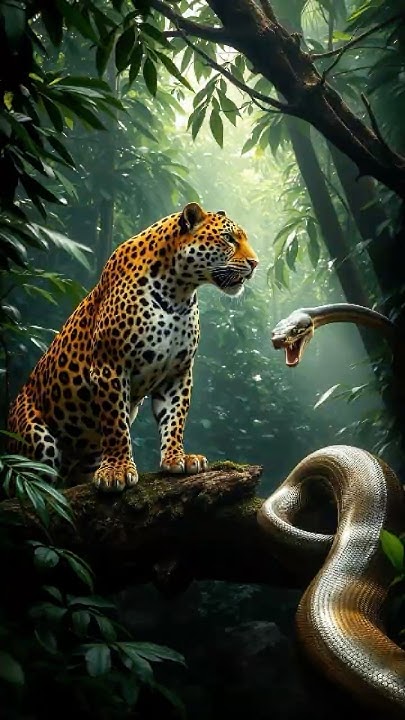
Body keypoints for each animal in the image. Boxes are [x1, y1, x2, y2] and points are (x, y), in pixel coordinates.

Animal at [7, 202, 259, 492]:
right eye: (228, 238)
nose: (255, 263)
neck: (179, 292)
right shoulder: (110, 366)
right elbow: (116, 424)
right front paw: (117, 470)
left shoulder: (178, 372)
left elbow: (175, 419)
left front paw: (177, 458)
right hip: (36, 437)